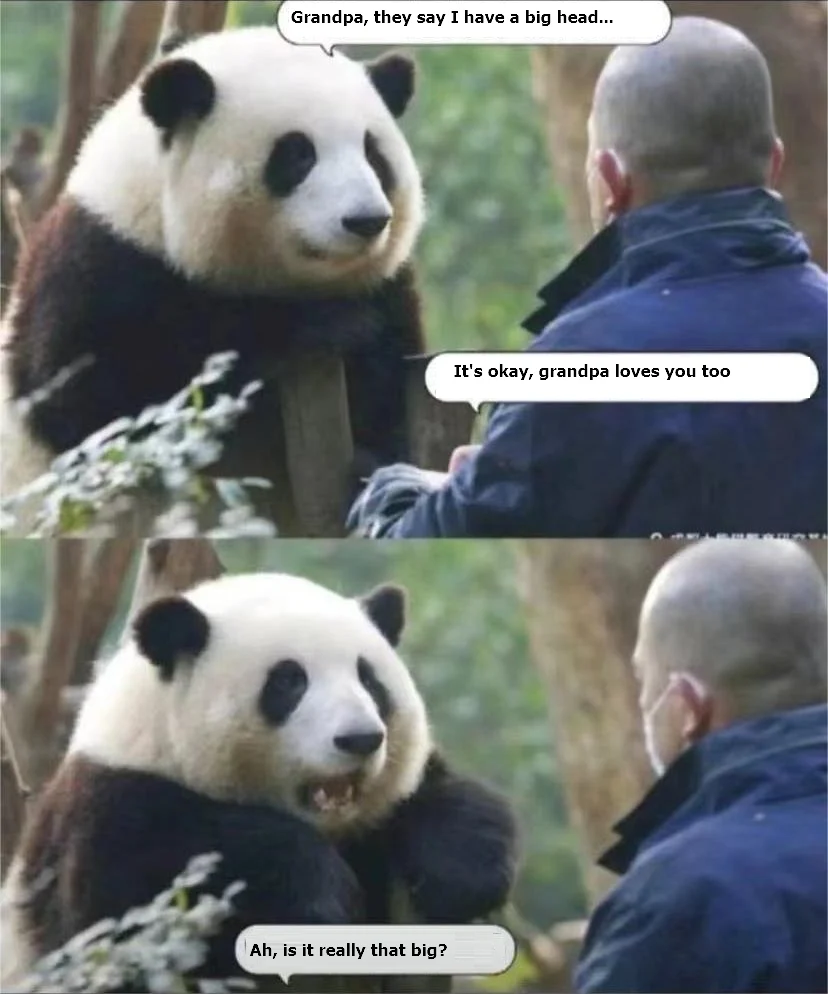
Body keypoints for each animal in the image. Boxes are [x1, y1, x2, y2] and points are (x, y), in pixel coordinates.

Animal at [0, 27, 426, 531]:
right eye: (298, 153)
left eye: (373, 154)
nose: (367, 220)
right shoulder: (100, 267)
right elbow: (100, 403)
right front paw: (323, 327)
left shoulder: (387, 291)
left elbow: (388, 386)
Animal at [0, 573, 518, 993]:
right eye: (289, 681)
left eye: (370, 680)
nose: (361, 739)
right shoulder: (109, 805)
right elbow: (135, 896)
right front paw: (321, 893)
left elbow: (454, 804)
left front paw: (459, 874)